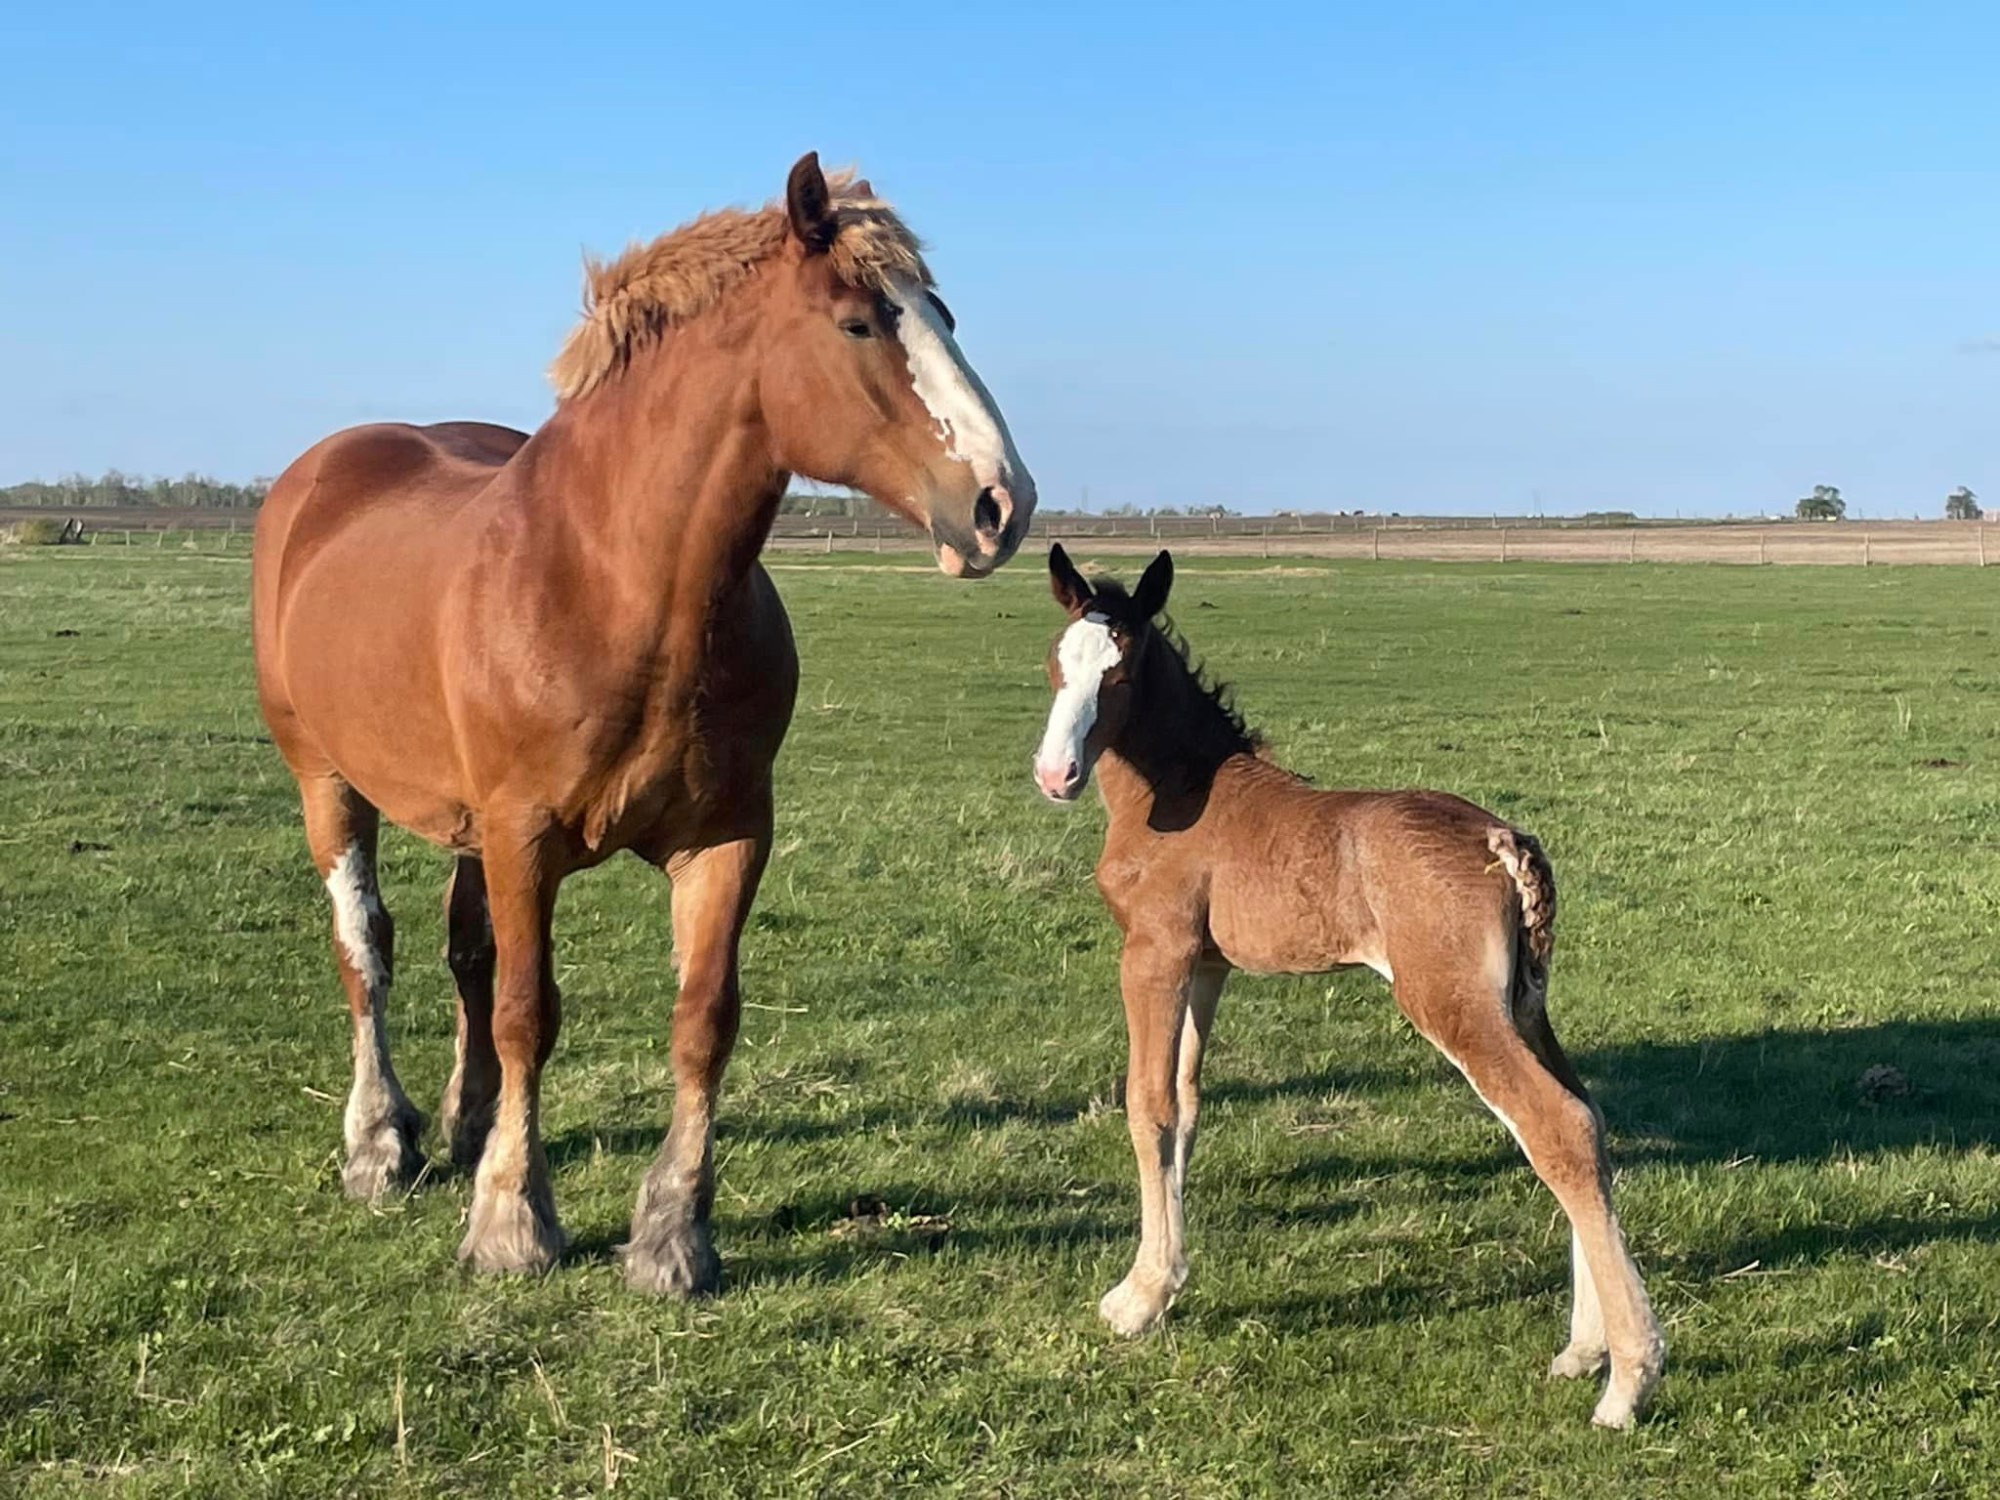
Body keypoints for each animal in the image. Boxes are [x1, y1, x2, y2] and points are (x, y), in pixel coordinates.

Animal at [252, 154, 1036, 1293]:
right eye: (856, 323)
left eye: (943, 315)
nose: (999, 505)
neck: (615, 580)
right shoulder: (524, 835)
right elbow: (528, 1013)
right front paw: (512, 1221)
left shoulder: (726, 837)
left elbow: (701, 1020)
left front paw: (672, 1234)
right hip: (328, 782)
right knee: (368, 949)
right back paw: (379, 1143)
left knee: (463, 956)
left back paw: (465, 1124)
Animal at [1031, 545, 1663, 1428]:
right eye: (1055, 664)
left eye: (1118, 673)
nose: (1055, 775)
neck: (1184, 792)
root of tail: (1502, 842)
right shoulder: (1207, 966)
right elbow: (1187, 1105)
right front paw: (1168, 1284)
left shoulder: (1153, 953)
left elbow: (1146, 1106)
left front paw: (1137, 1299)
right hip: (1524, 1006)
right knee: (1586, 1121)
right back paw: (1584, 1348)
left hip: (1451, 1004)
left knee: (1557, 1126)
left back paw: (1629, 1380)